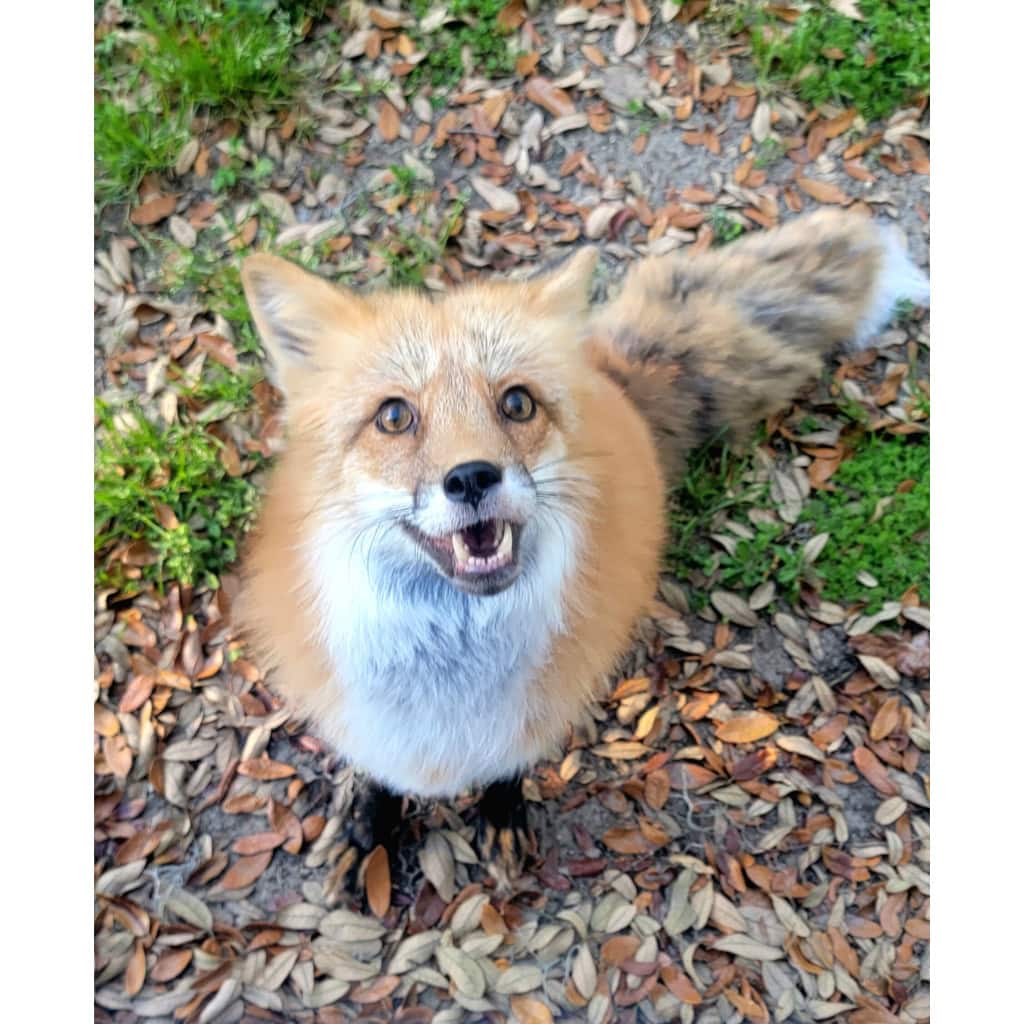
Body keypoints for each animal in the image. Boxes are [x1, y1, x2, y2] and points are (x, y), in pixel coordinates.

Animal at [236, 209, 929, 885]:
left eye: (516, 403)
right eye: (394, 417)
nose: (472, 477)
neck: (451, 671)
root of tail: (604, 373)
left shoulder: (539, 706)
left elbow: (506, 768)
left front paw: (500, 812)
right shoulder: (363, 715)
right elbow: (375, 773)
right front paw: (367, 829)